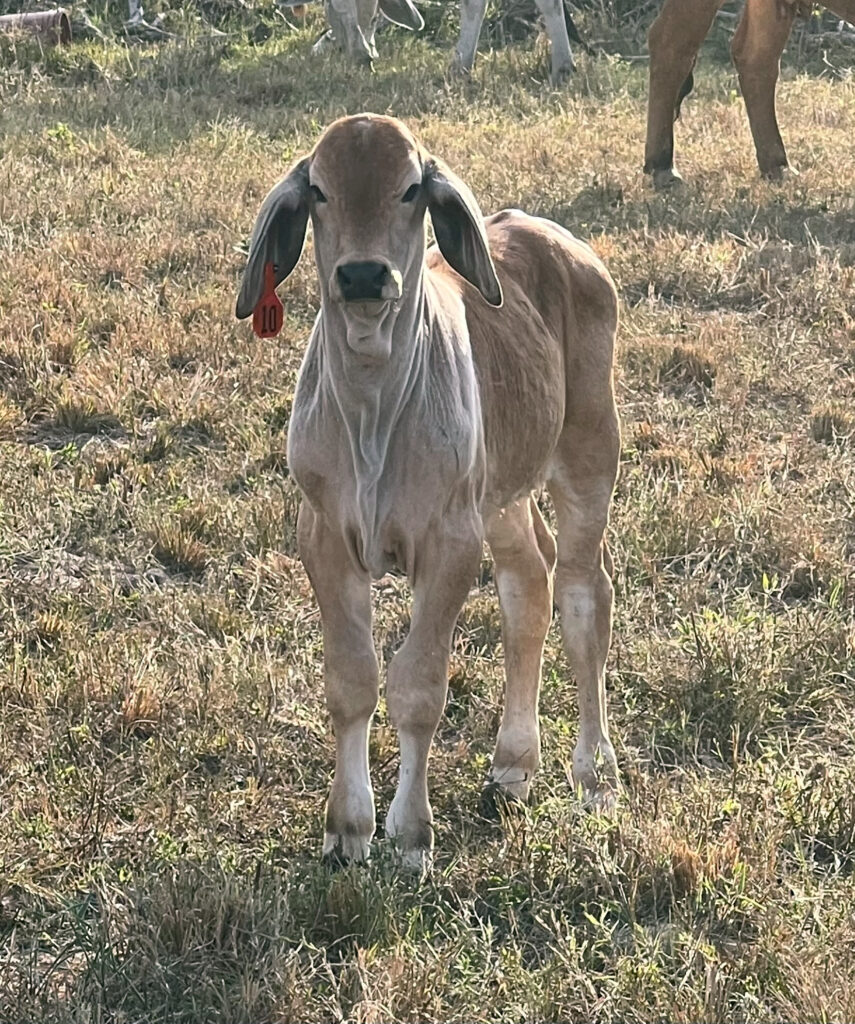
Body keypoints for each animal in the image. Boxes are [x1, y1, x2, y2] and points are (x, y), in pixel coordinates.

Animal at [235, 114, 621, 870]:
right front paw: (347, 829)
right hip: (500, 495)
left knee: (583, 596)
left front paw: (411, 834)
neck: (373, 411)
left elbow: (417, 686)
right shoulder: (324, 538)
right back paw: (512, 765)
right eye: (319, 189)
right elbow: (352, 680)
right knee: (528, 585)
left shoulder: (449, 542)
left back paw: (593, 776)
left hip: (590, 453)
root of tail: (559, 241)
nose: (362, 274)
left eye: (411, 188)